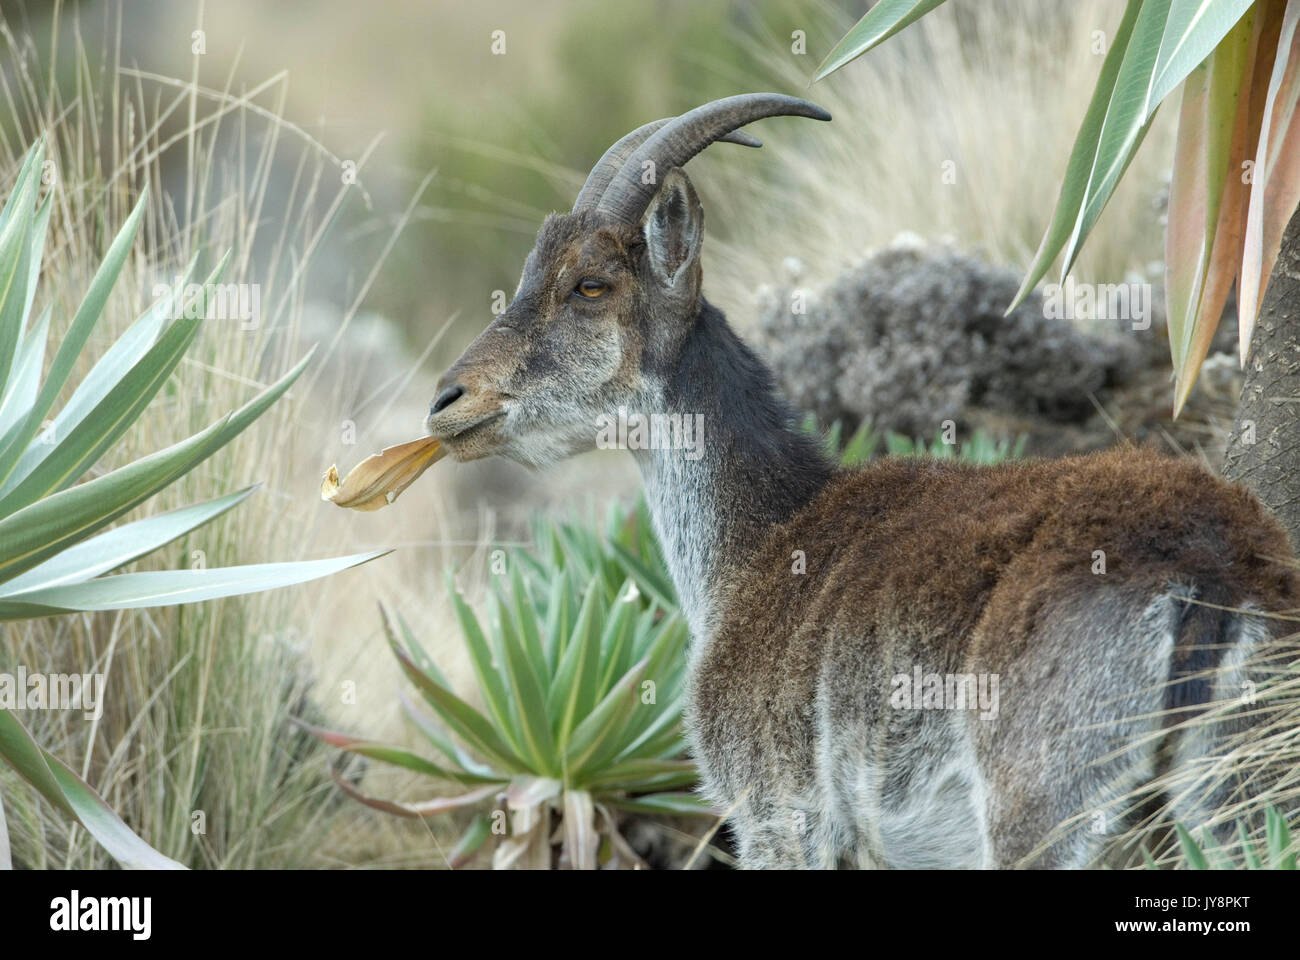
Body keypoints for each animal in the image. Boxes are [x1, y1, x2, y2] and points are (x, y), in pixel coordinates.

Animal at [425, 94, 1300, 868]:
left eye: (591, 284)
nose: (449, 402)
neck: (756, 545)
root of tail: (1211, 568)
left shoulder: (779, 818)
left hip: (1047, 804)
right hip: (1234, 800)